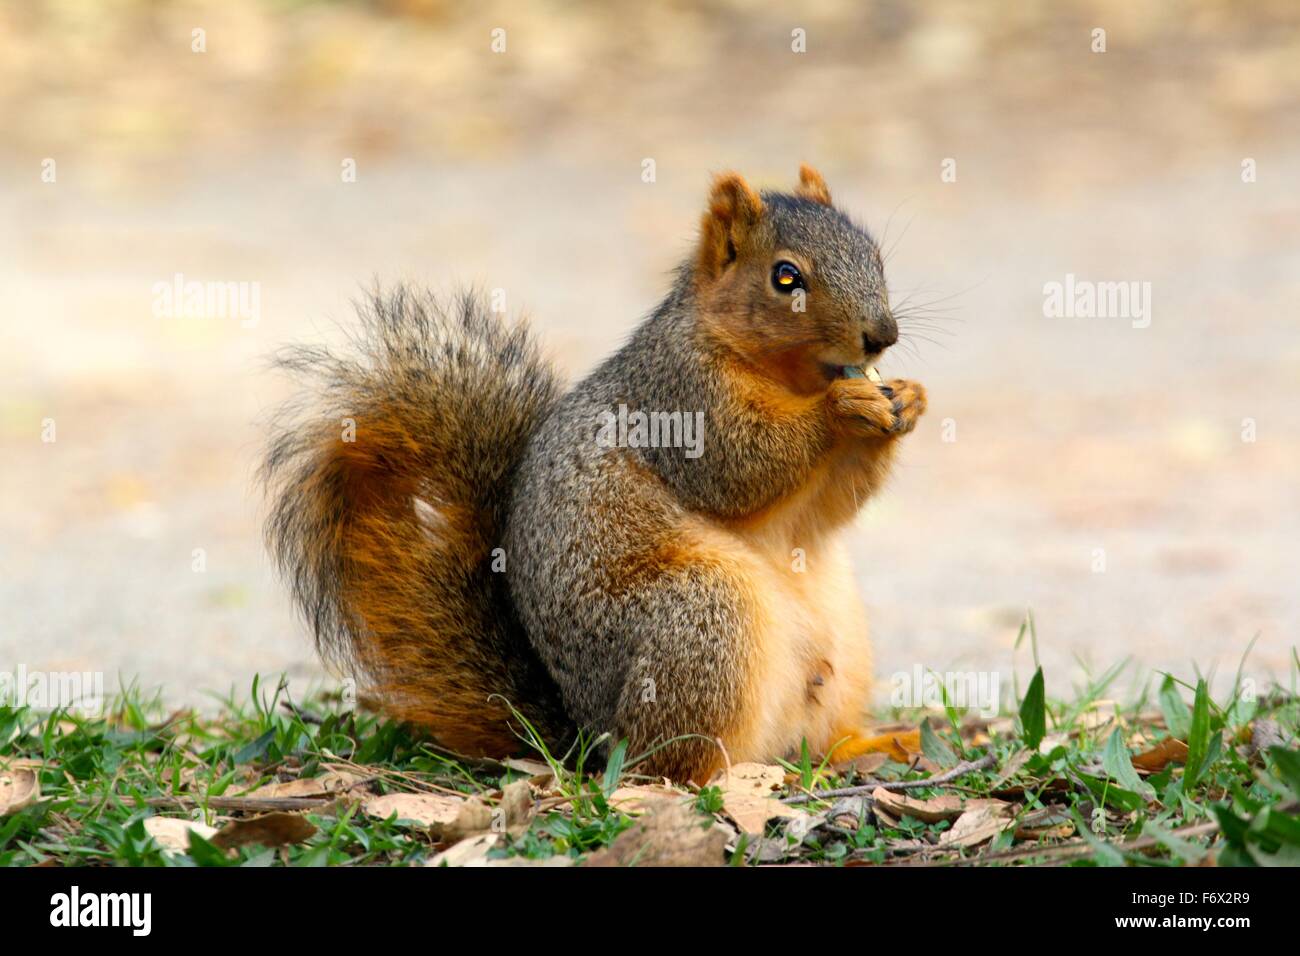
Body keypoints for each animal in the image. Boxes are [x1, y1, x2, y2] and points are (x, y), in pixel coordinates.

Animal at [262, 165, 926, 783]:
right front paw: (842, 407)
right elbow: (742, 464)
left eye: (874, 254)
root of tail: (589, 737)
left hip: (842, 640)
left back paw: (872, 745)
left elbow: (828, 506)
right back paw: (741, 776)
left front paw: (909, 400)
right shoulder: (680, 401)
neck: (790, 376)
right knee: (671, 764)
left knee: (815, 739)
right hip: (703, 617)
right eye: (785, 277)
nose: (882, 335)